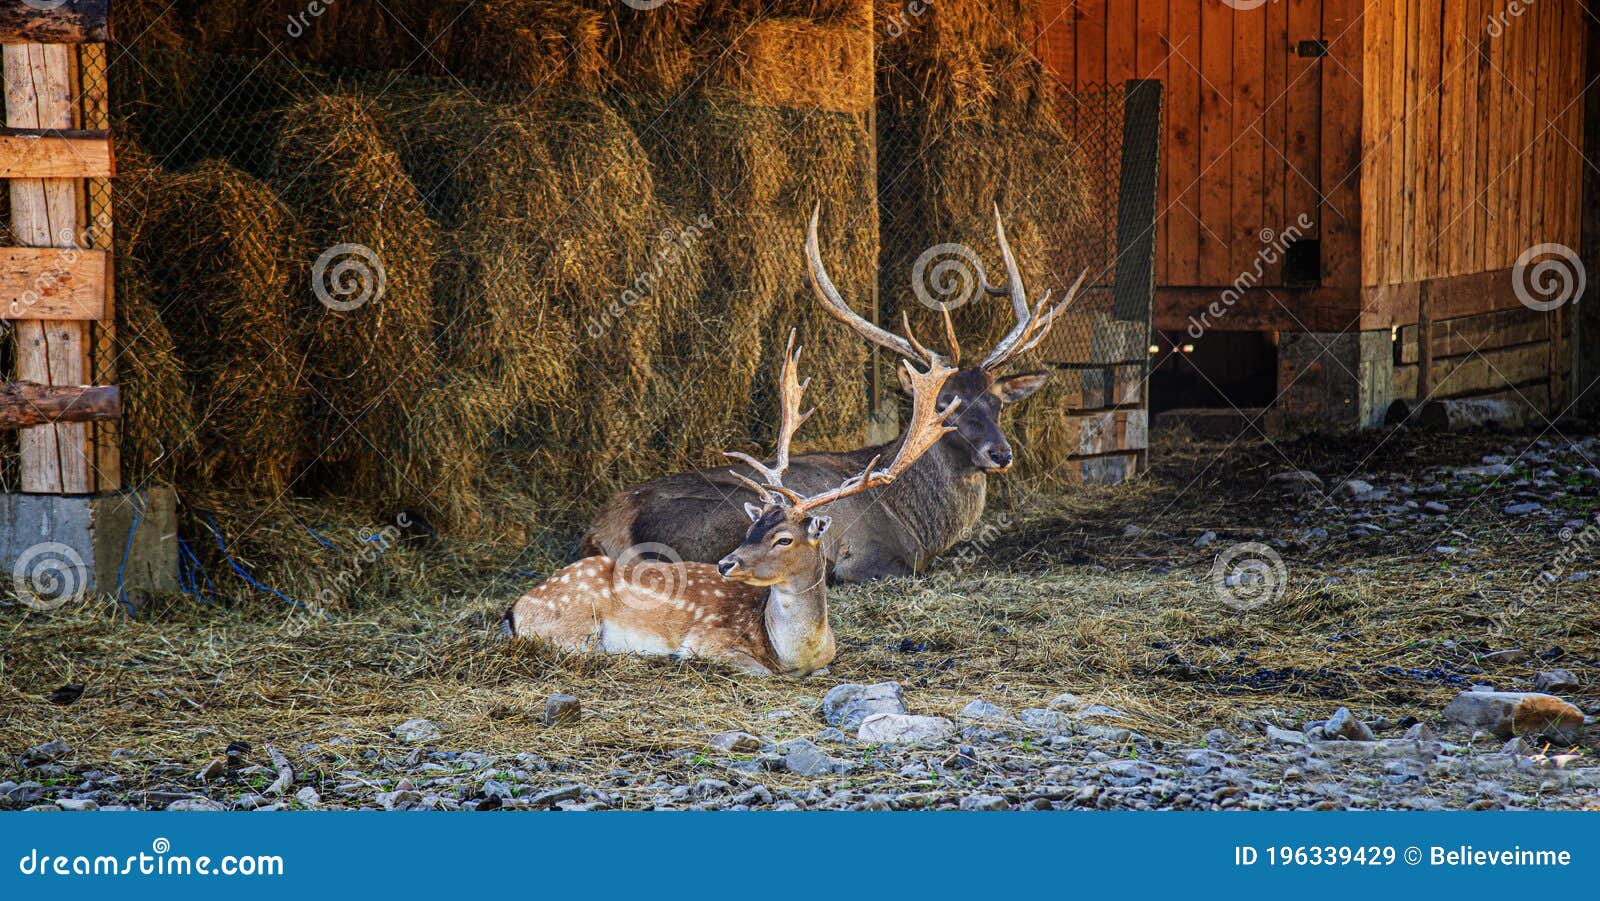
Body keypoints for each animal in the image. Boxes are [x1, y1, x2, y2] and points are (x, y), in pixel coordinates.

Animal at [503, 333, 959, 676]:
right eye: (751, 528)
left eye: (783, 538)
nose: (725, 564)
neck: (795, 652)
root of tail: (515, 608)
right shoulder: (709, 639)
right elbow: (752, 668)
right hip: (575, 626)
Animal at [582, 203, 1086, 582]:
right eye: (945, 407)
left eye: (997, 403)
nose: (1000, 453)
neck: (918, 524)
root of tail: (605, 528)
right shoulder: (869, 555)